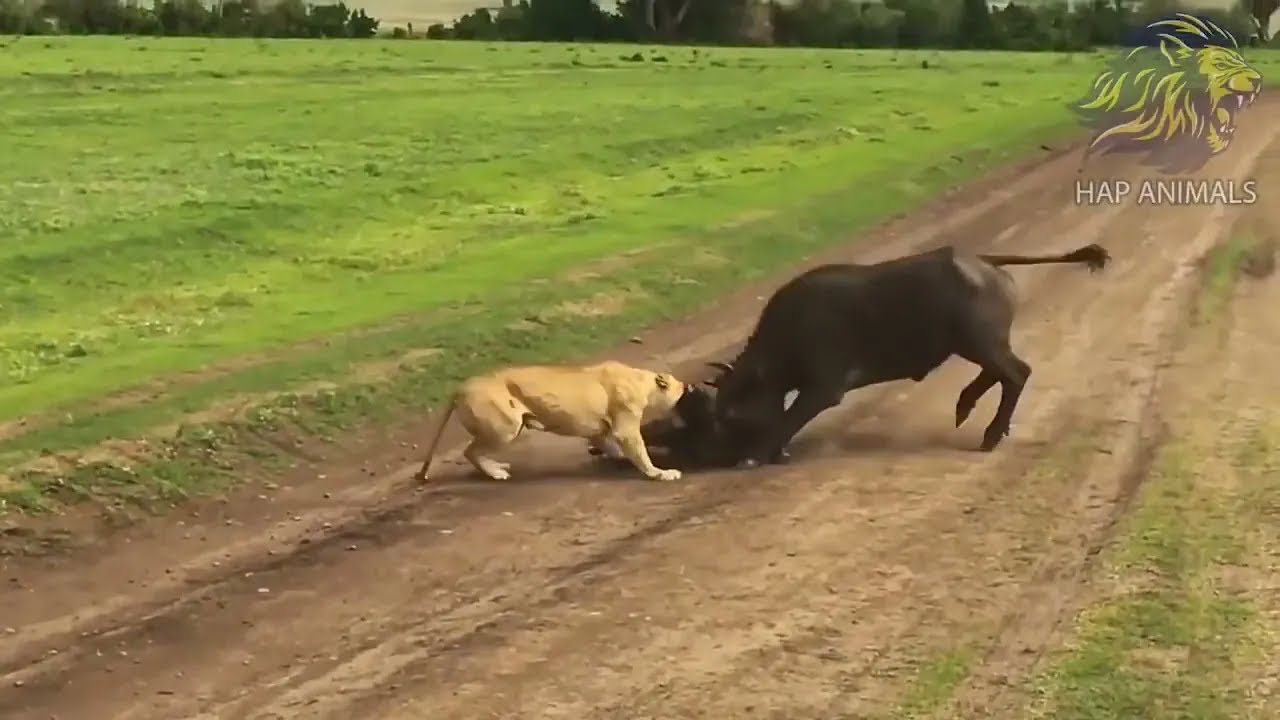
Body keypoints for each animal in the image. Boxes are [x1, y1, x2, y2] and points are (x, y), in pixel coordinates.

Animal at [413, 360, 691, 483]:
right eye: (682, 389)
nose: (689, 387)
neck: (644, 382)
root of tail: (461, 387)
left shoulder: (599, 430)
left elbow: (610, 445)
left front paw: (618, 457)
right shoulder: (625, 428)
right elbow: (640, 453)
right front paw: (661, 473)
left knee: (475, 450)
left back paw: (497, 466)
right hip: (505, 427)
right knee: (469, 451)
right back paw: (496, 473)